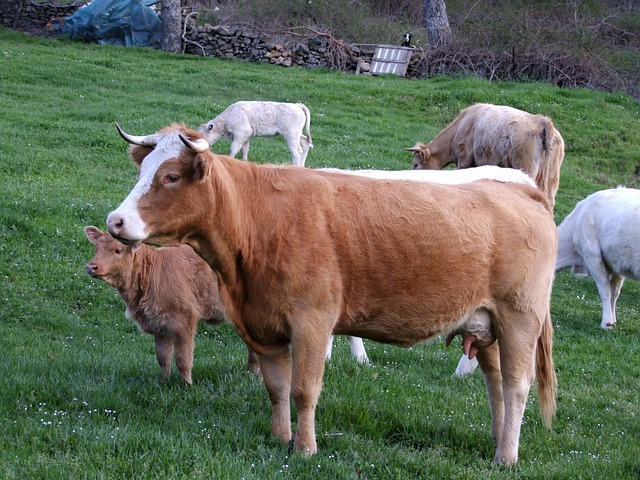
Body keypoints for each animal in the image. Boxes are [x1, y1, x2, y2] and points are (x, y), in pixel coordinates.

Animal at [84, 225, 260, 384]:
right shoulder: (159, 324)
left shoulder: (183, 320)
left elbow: (183, 358)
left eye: (118, 250)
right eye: (97, 248)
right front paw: (163, 382)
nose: (91, 267)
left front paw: (187, 385)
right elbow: (163, 357)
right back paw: (251, 373)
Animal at [106, 123, 557, 465]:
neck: (257, 221)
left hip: (520, 317)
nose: (116, 220)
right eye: (142, 171)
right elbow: (277, 387)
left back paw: (506, 457)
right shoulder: (262, 325)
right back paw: (498, 441)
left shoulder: (312, 321)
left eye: (170, 176)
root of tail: (518, 188)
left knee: (516, 386)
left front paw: (305, 449)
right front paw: (279, 438)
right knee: (495, 383)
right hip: (486, 323)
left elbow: (304, 390)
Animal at [556, 187, 640, 329]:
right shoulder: (616, 262)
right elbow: (614, 293)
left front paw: (607, 323)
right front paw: (613, 320)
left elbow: (604, 290)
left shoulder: (592, 255)